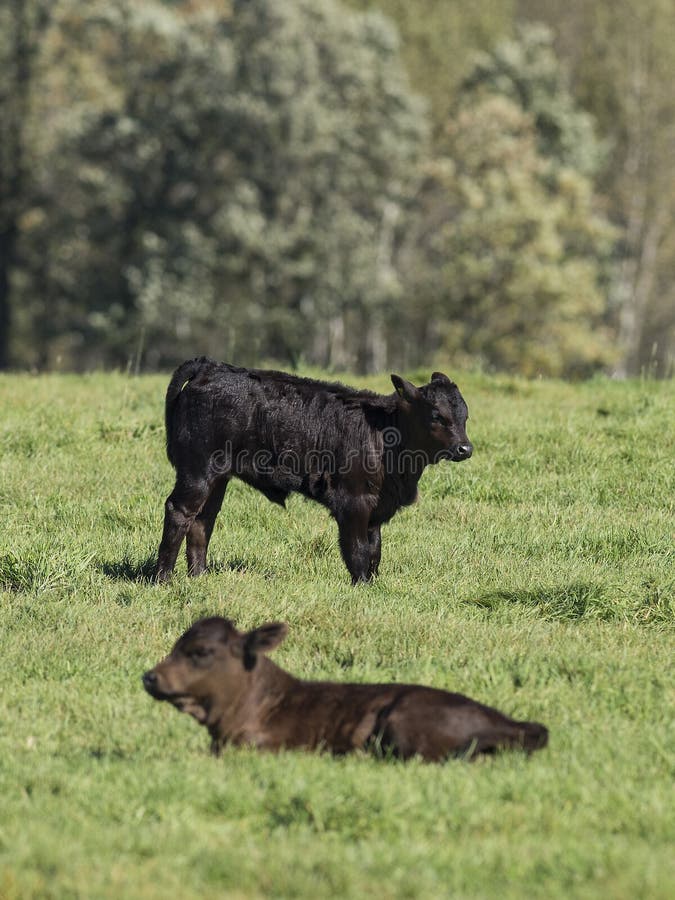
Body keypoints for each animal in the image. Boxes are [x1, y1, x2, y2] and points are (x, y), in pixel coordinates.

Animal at [155, 358, 472, 584]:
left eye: (465, 416)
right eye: (437, 415)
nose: (465, 449)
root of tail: (210, 367)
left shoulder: (377, 508)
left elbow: (375, 550)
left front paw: (374, 583)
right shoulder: (352, 503)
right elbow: (357, 550)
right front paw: (363, 586)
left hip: (218, 476)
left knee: (202, 519)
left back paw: (199, 576)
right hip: (197, 470)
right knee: (179, 512)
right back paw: (163, 579)